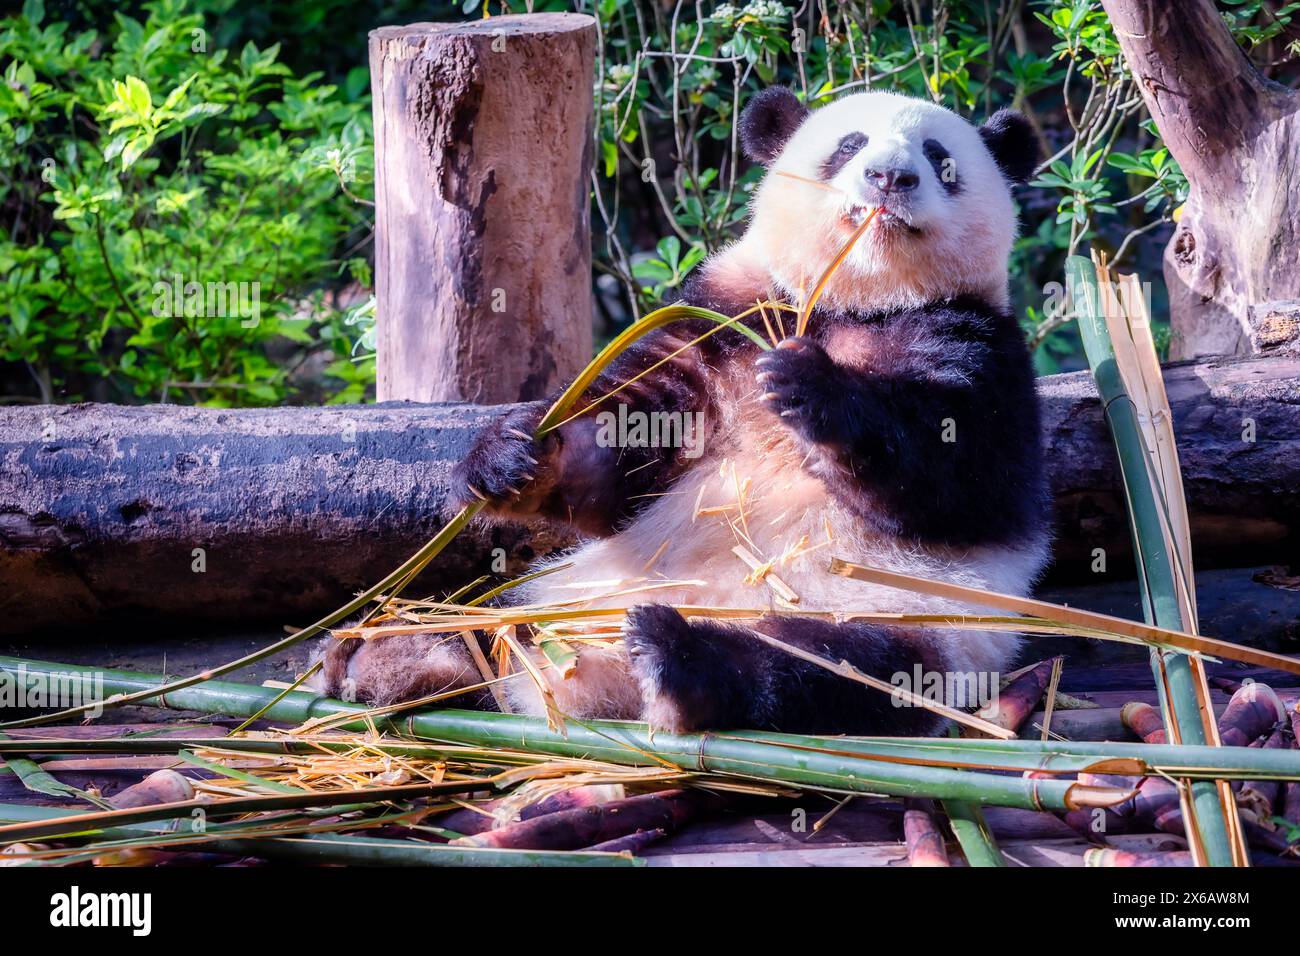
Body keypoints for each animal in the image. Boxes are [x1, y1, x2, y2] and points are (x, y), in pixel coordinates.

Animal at [315, 87, 1050, 737]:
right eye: (848, 145)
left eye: (939, 157)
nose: (890, 176)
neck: (848, 302)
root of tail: (596, 685)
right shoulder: (721, 318)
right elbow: (623, 458)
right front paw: (512, 456)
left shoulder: (975, 342)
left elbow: (953, 481)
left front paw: (810, 387)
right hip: (559, 590)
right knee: (489, 623)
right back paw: (396, 655)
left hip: (908, 618)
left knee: (827, 670)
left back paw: (675, 659)